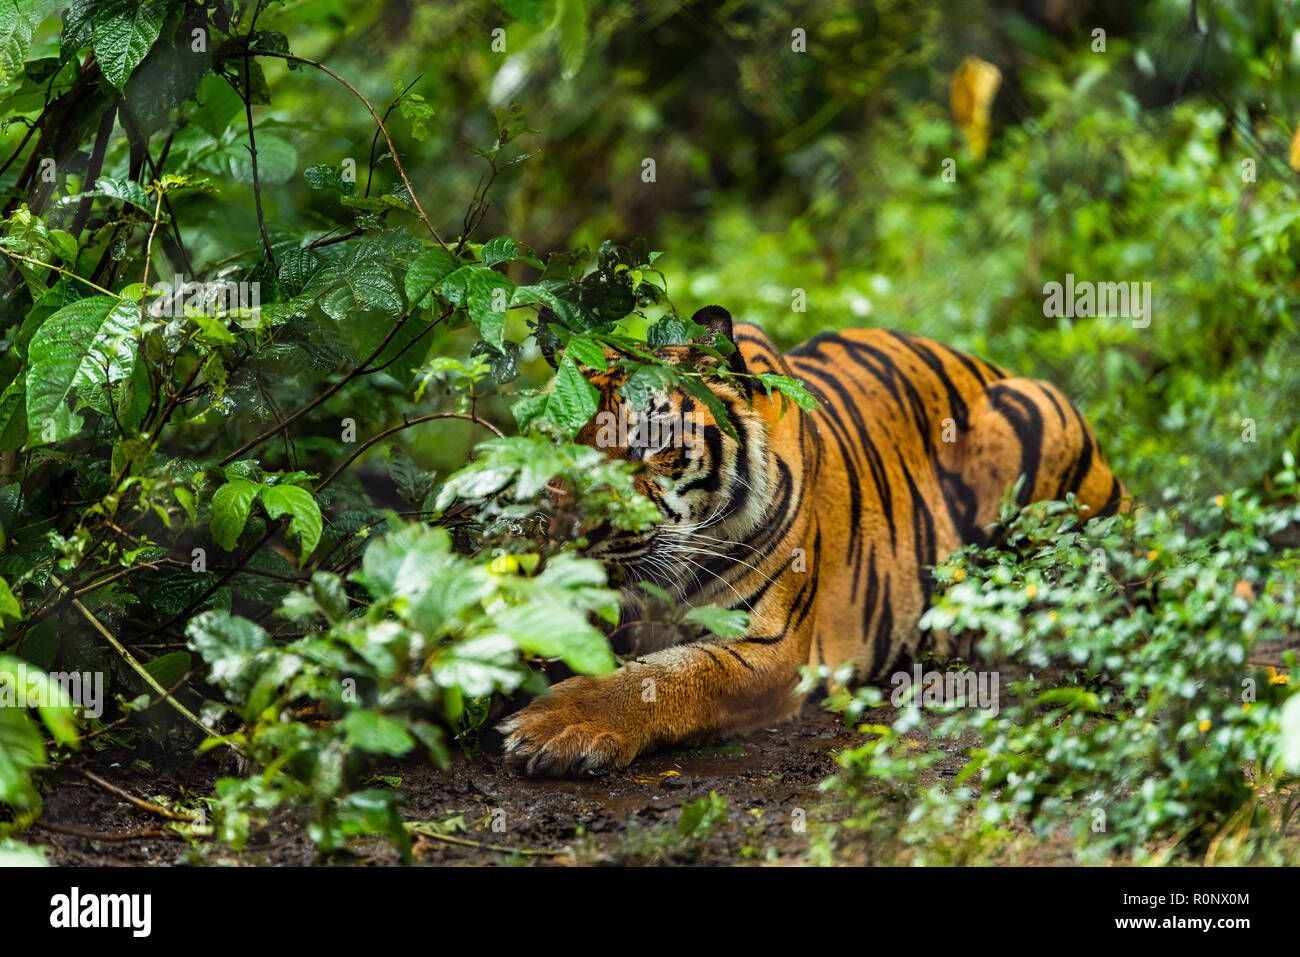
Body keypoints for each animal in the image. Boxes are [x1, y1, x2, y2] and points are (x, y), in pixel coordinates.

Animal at [499, 305, 1127, 776]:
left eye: (648, 440)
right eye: (556, 437)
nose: (569, 529)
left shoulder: (769, 644)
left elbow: (662, 677)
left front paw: (554, 725)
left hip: (1028, 417)